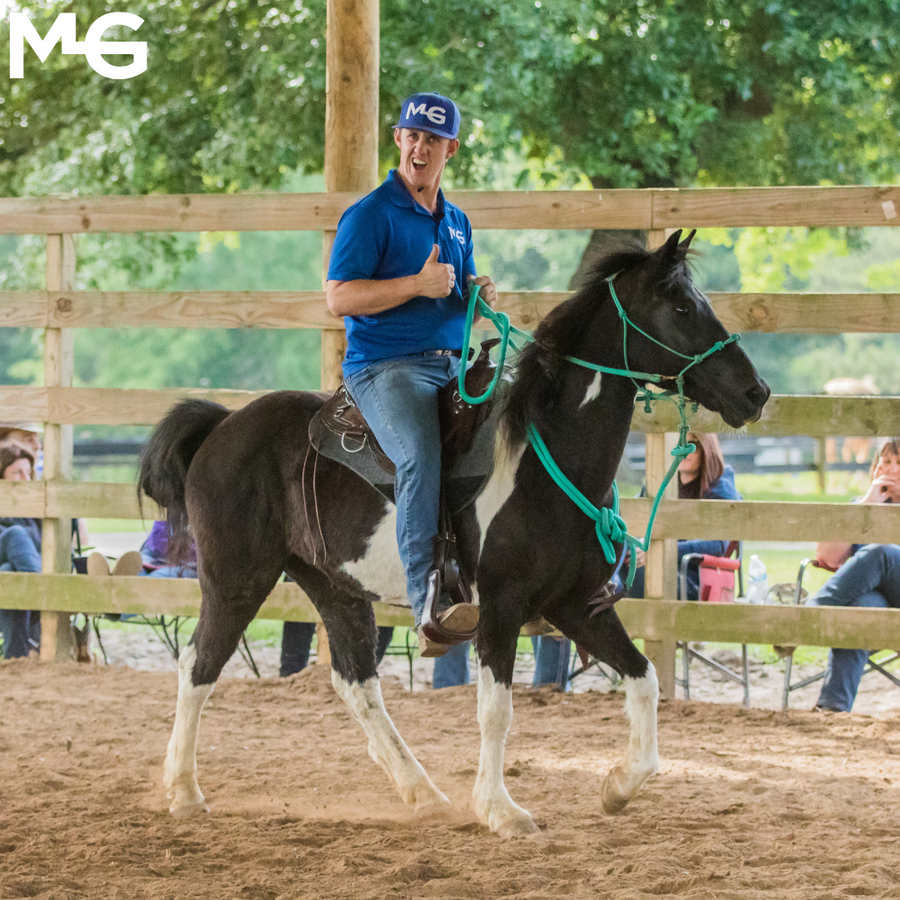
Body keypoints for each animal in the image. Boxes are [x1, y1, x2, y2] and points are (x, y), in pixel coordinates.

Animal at [139, 228, 769, 838]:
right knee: (198, 666)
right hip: (237, 580)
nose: (756, 392)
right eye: (681, 304)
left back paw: (422, 794)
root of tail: (223, 425)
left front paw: (618, 785)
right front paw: (500, 810)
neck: (541, 455)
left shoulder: (577, 604)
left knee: (357, 684)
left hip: (333, 586)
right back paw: (184, 792)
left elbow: (644, 679)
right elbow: (496, 710)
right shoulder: (500, 608)